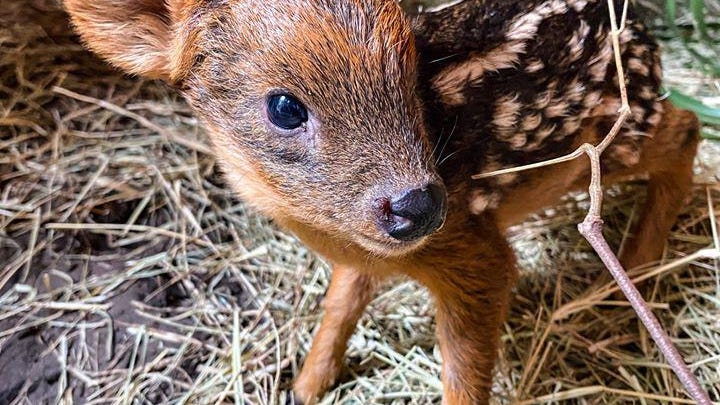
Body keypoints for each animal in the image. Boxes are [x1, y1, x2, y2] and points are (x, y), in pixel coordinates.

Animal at [62, 0, 699, 403]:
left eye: (410, 71)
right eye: (285, 107)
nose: (421, 204)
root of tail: (641, 31)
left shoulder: (477, 252)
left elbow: (463, 375)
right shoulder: (365, 250)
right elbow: (341, 300)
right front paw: (306, 386)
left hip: (615, 134)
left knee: (686, 127)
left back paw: (635, 267)